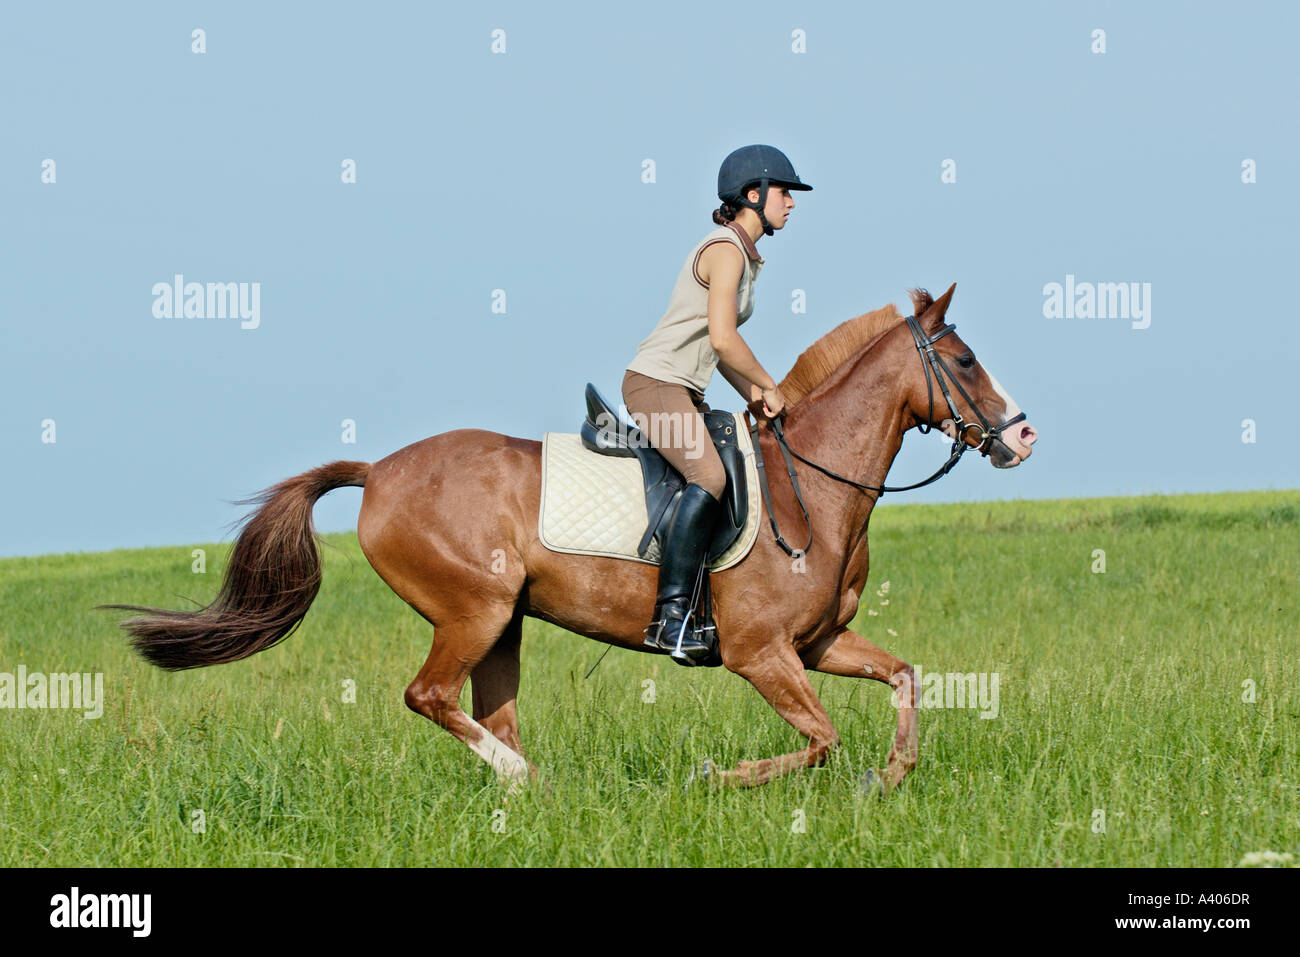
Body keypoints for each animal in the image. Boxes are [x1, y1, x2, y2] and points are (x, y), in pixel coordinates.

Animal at [104, 283, 1038, 792]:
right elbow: (819, 739)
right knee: (430, 696)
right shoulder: (761, 653)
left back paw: (529, 793)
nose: (1022, 436)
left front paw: (888, 778)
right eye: (962, 362)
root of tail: (379, 470)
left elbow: (904, 679)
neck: (811, 482)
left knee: (490, 713)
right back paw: (535, 785)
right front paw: (714, 778)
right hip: (473, 609)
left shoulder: (817, 644)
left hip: (504, 622)